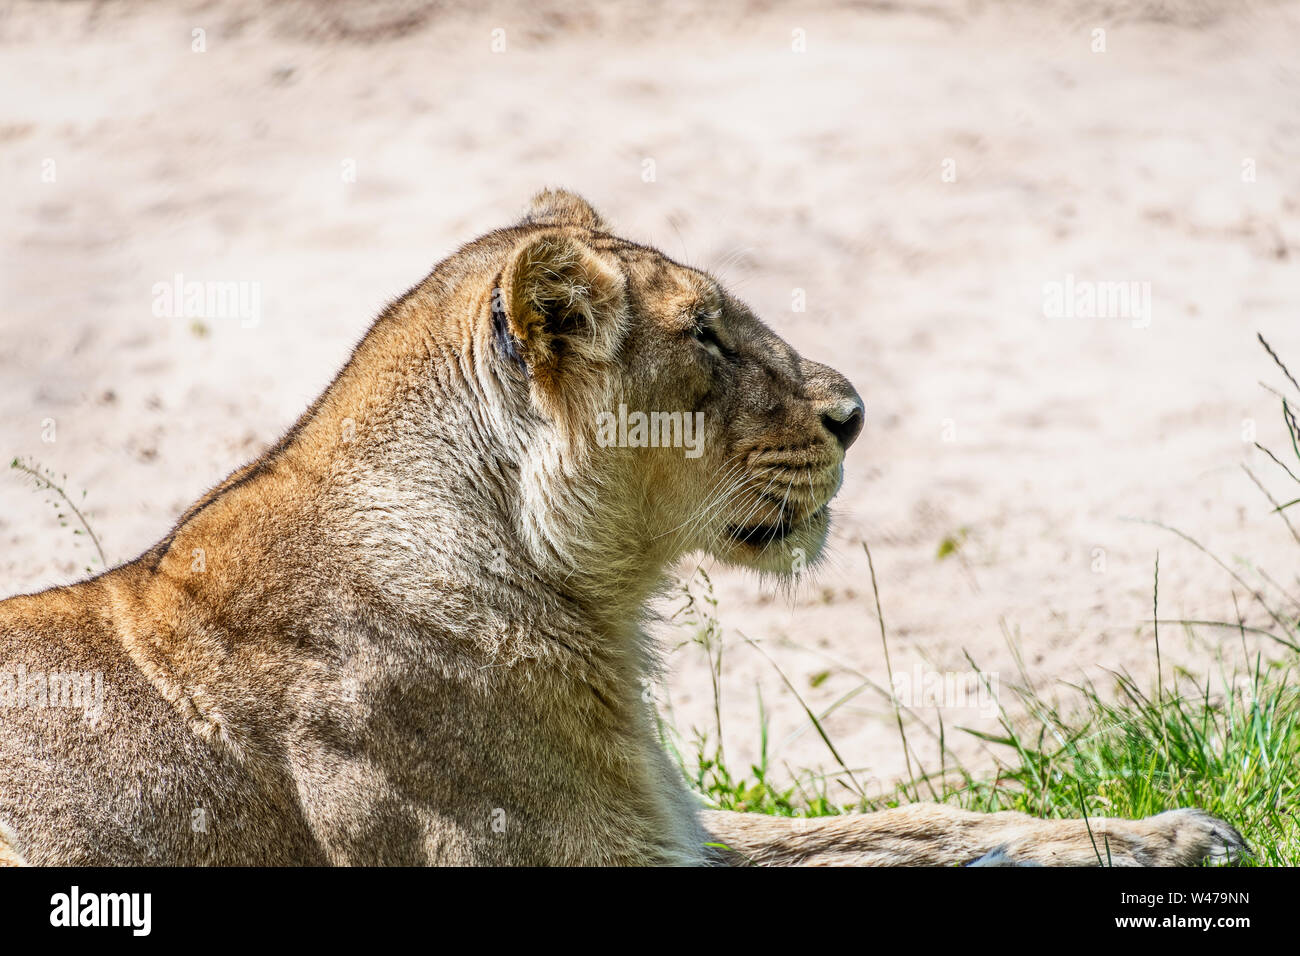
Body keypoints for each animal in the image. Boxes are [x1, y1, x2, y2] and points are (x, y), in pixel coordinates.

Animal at [0, 189, 1246, 866]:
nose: (854, 414)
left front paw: (1173, 833)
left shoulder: (664, 818)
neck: (586, 597)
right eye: (708, 336)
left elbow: (909, 820)